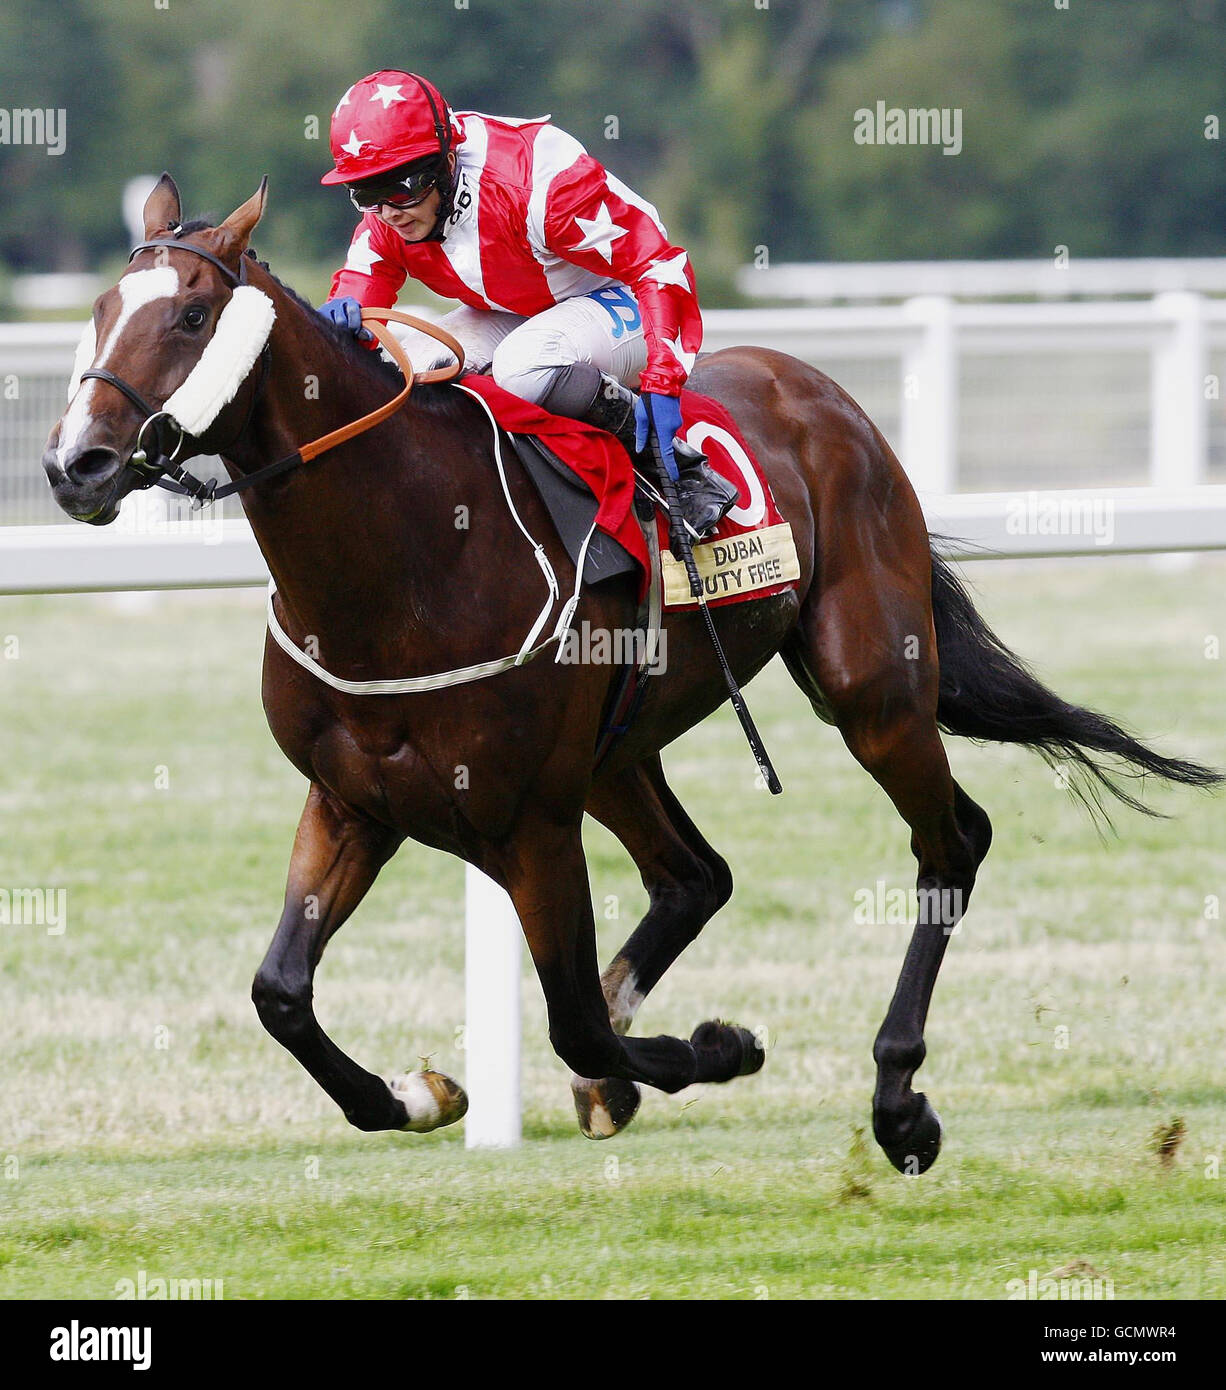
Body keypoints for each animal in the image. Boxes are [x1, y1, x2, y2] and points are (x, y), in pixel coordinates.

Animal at [42, 175, 1222, 1173]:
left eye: (190, 318)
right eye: (100, 307)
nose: (74, 465)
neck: (405, 559)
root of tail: (818, 391)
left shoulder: (527, 821)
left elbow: (575, 1021)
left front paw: (720, 1046)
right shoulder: (353, 799)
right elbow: (281, 991)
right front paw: (418, 1094)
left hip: (870, 689)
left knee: (949, 844)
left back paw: (898, 1103)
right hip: (619, 749)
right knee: (697, 874)